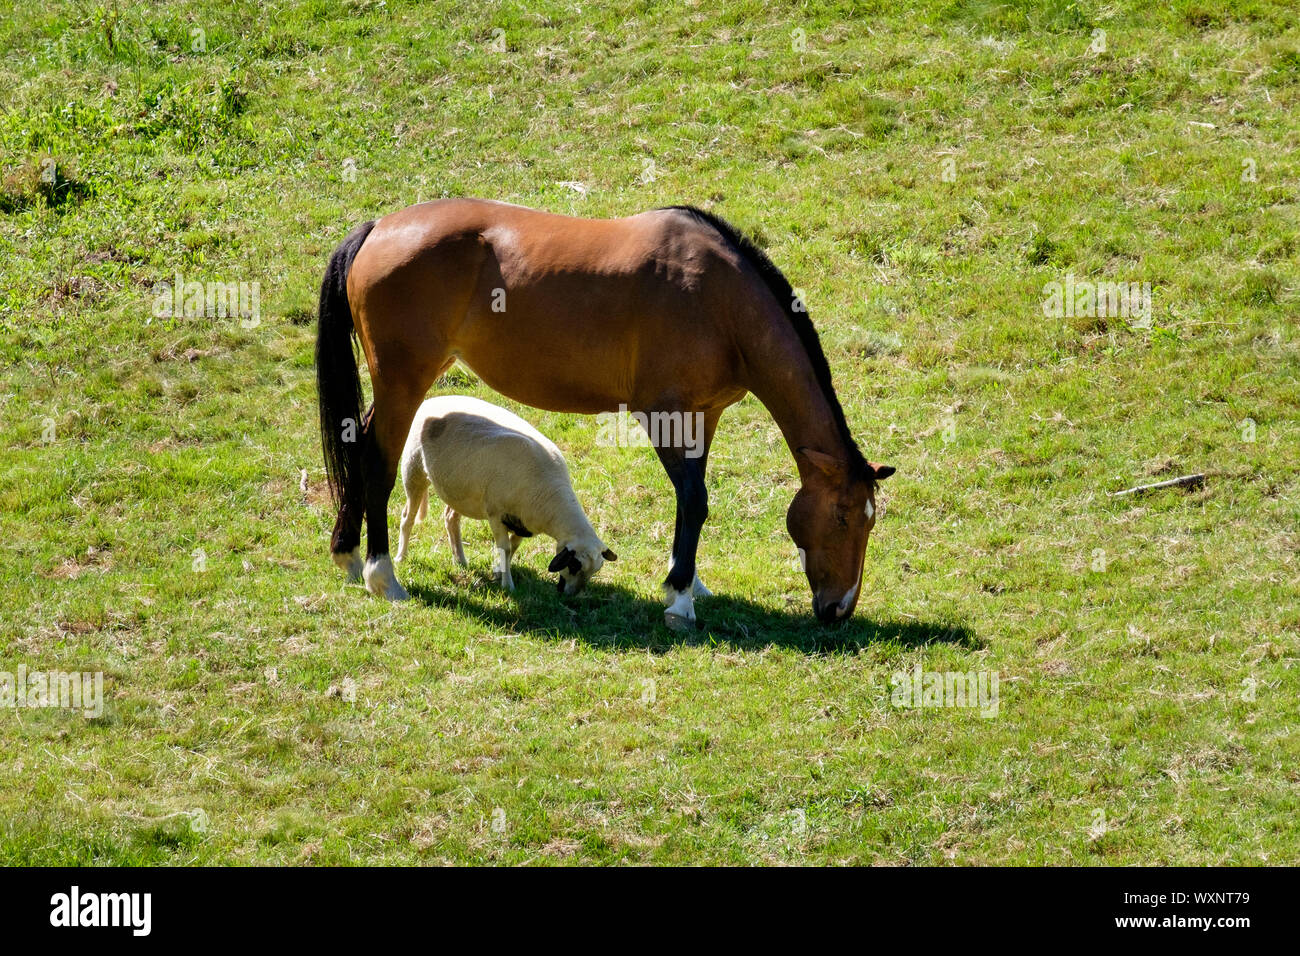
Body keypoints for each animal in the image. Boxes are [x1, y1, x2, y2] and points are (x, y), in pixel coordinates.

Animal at [395, 395, 616, 594]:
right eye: (574, 565)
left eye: (594, 571)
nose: (570, 595)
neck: (549, 499)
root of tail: (432, 400)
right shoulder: (496, 515)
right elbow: (505, 548)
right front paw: (508, 586)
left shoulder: (523, 524)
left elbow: (513, 548)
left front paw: (498, 572)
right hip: (413, 471)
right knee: (407, 518)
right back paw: (401, 558)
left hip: (459, 488)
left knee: (450, 518)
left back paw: (460, 560)